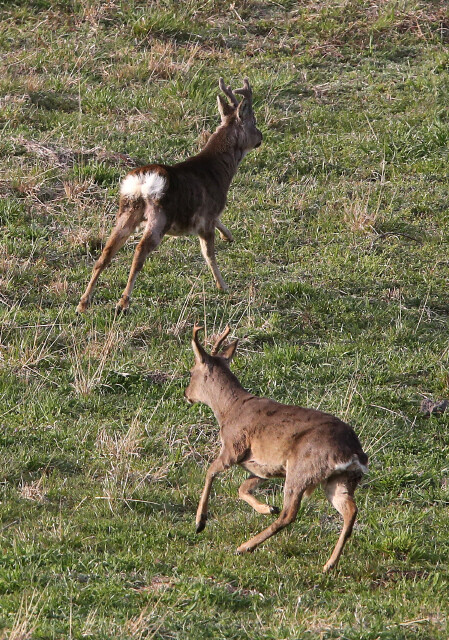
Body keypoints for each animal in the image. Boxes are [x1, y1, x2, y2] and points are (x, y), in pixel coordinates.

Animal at [76, 78, 262, 314]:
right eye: (254, 120)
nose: (261, 137)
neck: (220, 170)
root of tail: (141, 183)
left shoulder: (208, 216)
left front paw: (228, 236)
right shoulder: (207, 216)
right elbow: (209, 254)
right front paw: (223, 286)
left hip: (127, 211)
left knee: (106, 253)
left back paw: (83, 303)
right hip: (160, 216)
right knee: (139, 251)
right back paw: (123, 302)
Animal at [184, 324, 368, 573]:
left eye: (191, 372)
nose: (186, 394)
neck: (228, 410)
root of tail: (354, 452)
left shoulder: (234, 447)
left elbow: (210, 472)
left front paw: (199, 522)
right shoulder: (263, 468)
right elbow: (242, 488)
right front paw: (266, 508)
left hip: (302, 469)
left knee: (289, 514)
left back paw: (245, 546)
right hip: (339, 479)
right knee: (350, 511)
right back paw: (329, 564)